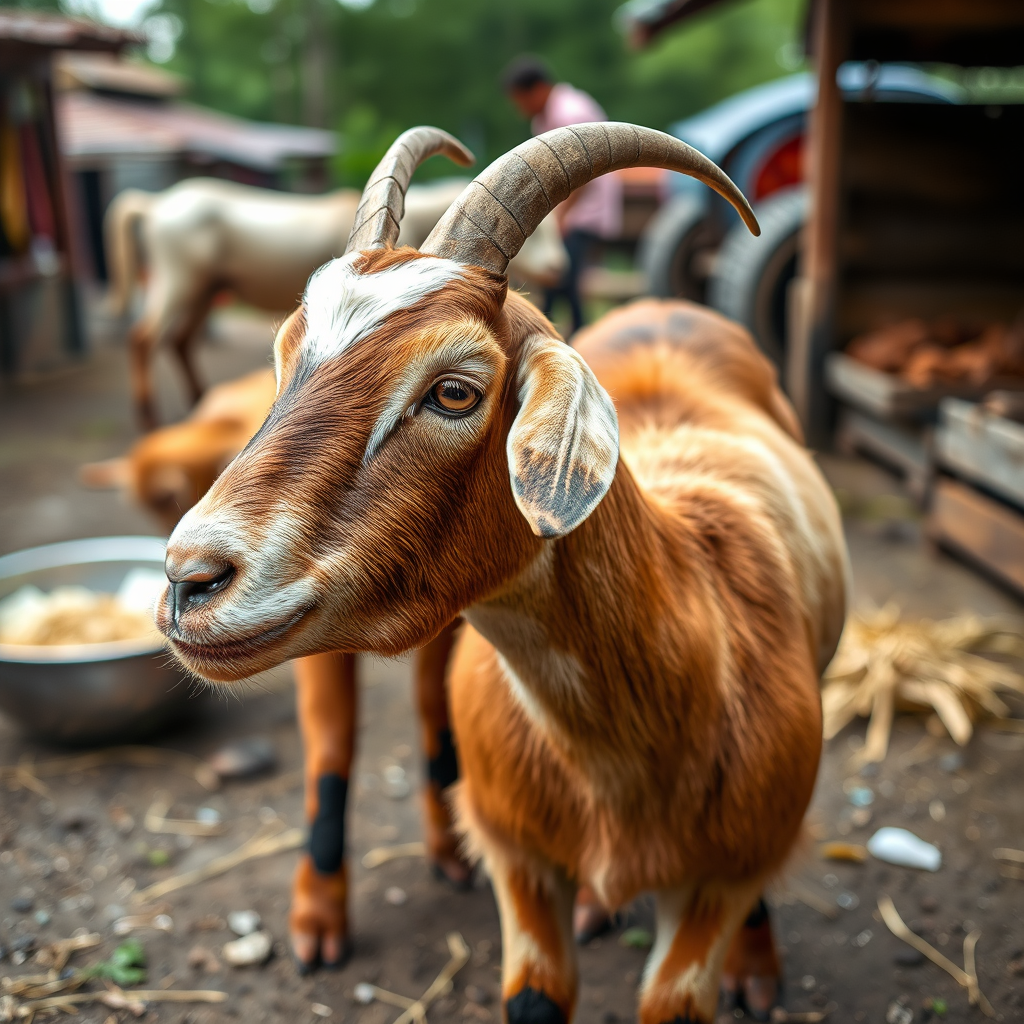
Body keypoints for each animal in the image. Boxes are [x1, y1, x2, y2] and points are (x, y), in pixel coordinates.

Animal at [105, 166, 568, 429]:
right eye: (539, 233)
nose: (558, 267)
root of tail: (155, 204)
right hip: (179, 281)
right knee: (144, 338)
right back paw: (148, 417)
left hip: (205, 289)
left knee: (179, 340)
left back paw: (199, 401)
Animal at [156, 124, 848, 1023]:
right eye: (284, 360)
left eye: (454, 392)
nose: (189, 578)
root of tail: (667, 306)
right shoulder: (520, 865)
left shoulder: (717, 884)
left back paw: (754, 964)